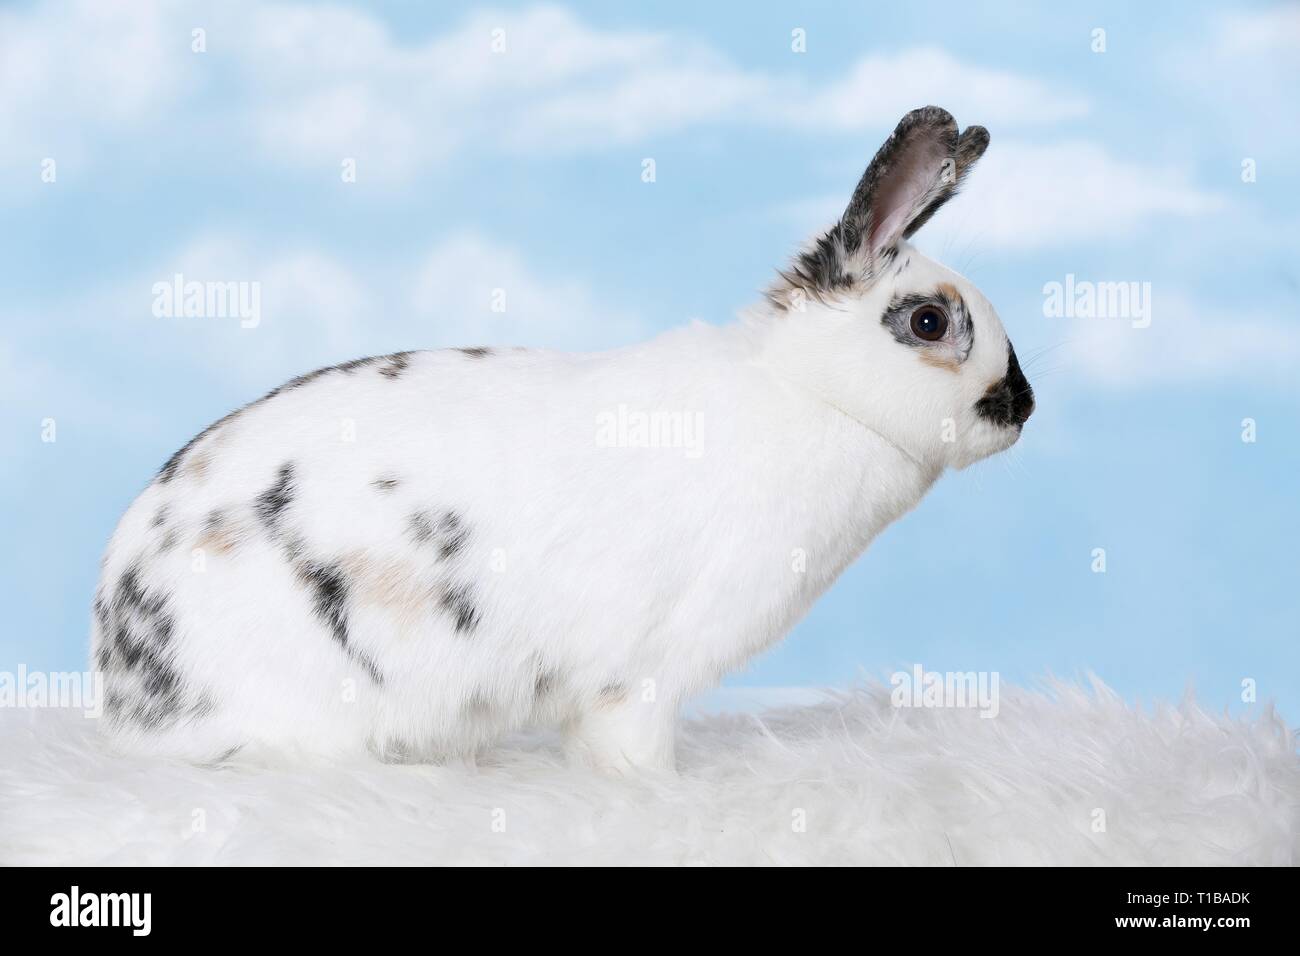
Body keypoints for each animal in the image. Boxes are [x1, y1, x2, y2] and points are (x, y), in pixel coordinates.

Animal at [90, 106, 1033, 772]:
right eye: (928, 321)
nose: (1021, 406)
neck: (806, 389)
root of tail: (122, 687)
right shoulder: (643, 678)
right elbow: (631, 749)